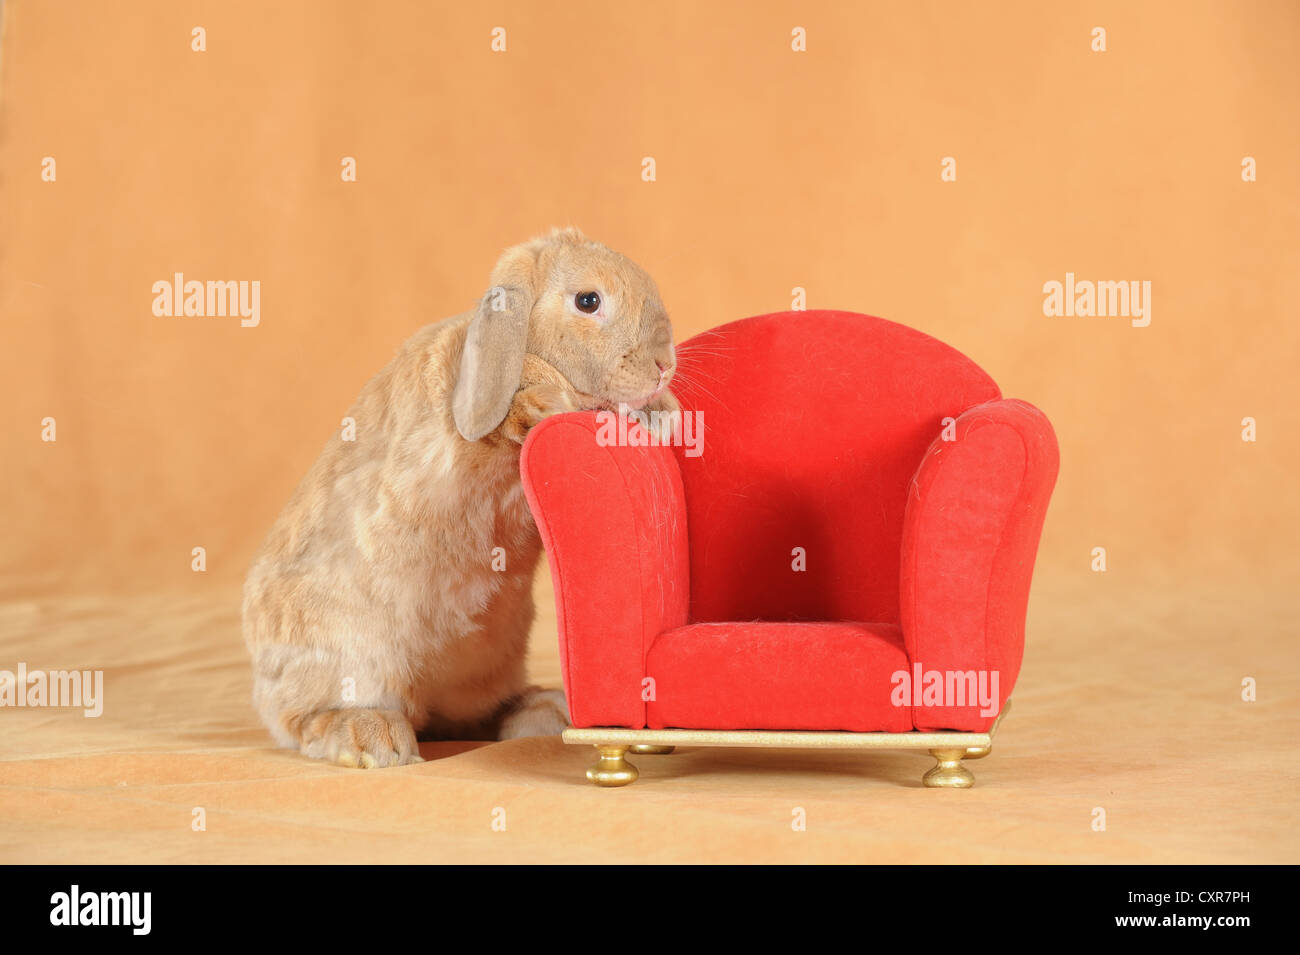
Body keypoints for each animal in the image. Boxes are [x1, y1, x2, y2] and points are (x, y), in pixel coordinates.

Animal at [242, 228, 679, 767]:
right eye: (588, 301)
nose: (664, 366)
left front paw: (661, 415)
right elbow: (505, 413)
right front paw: (548, 401)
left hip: (489, 662)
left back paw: (543, 709)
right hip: (346, 650)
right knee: (308, 717)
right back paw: (374, 739)